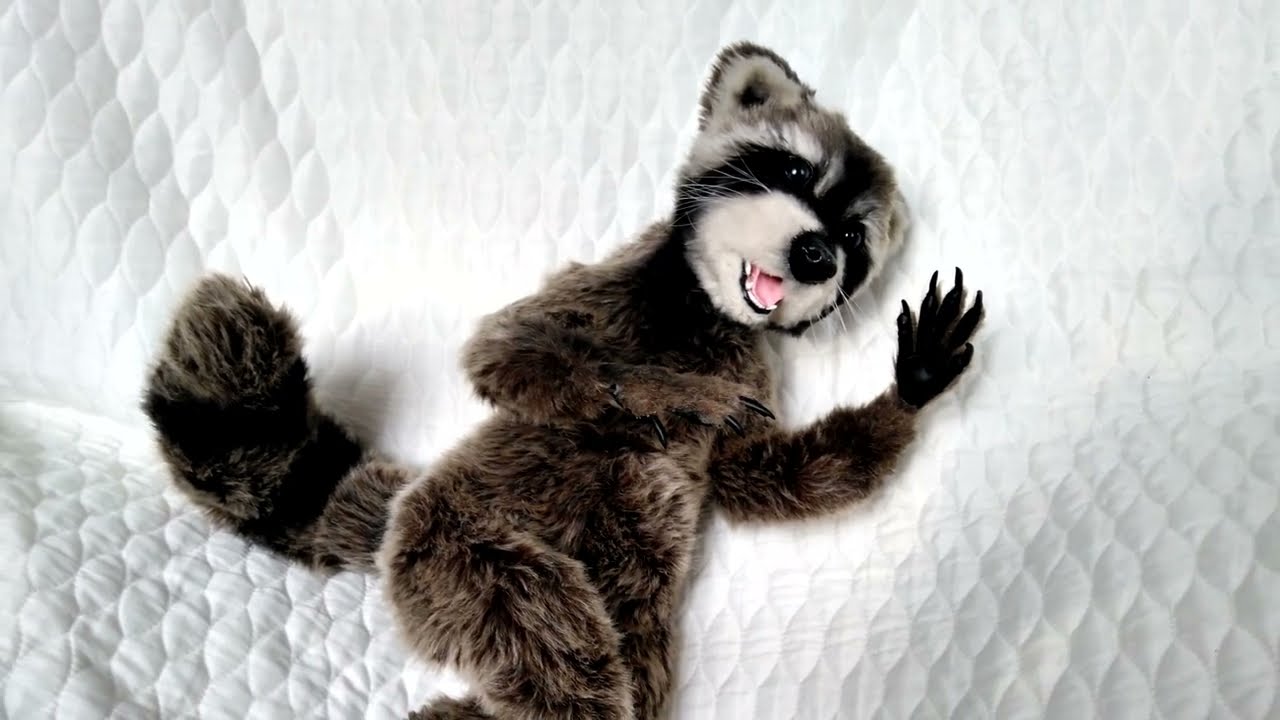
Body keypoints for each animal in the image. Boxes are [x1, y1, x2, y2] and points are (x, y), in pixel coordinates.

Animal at [142, 42, 984, 720]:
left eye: (853, 240)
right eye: (793, 171)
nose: (816, 255)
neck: (707, 307)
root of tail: (394, 526)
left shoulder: (751, 364)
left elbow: (763, 474)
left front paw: (910, 390)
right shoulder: (605, 283)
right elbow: (510, 353)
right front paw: (665, 392)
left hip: (622, 597)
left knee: (629, 672)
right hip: (452, 544)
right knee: (548, 633)